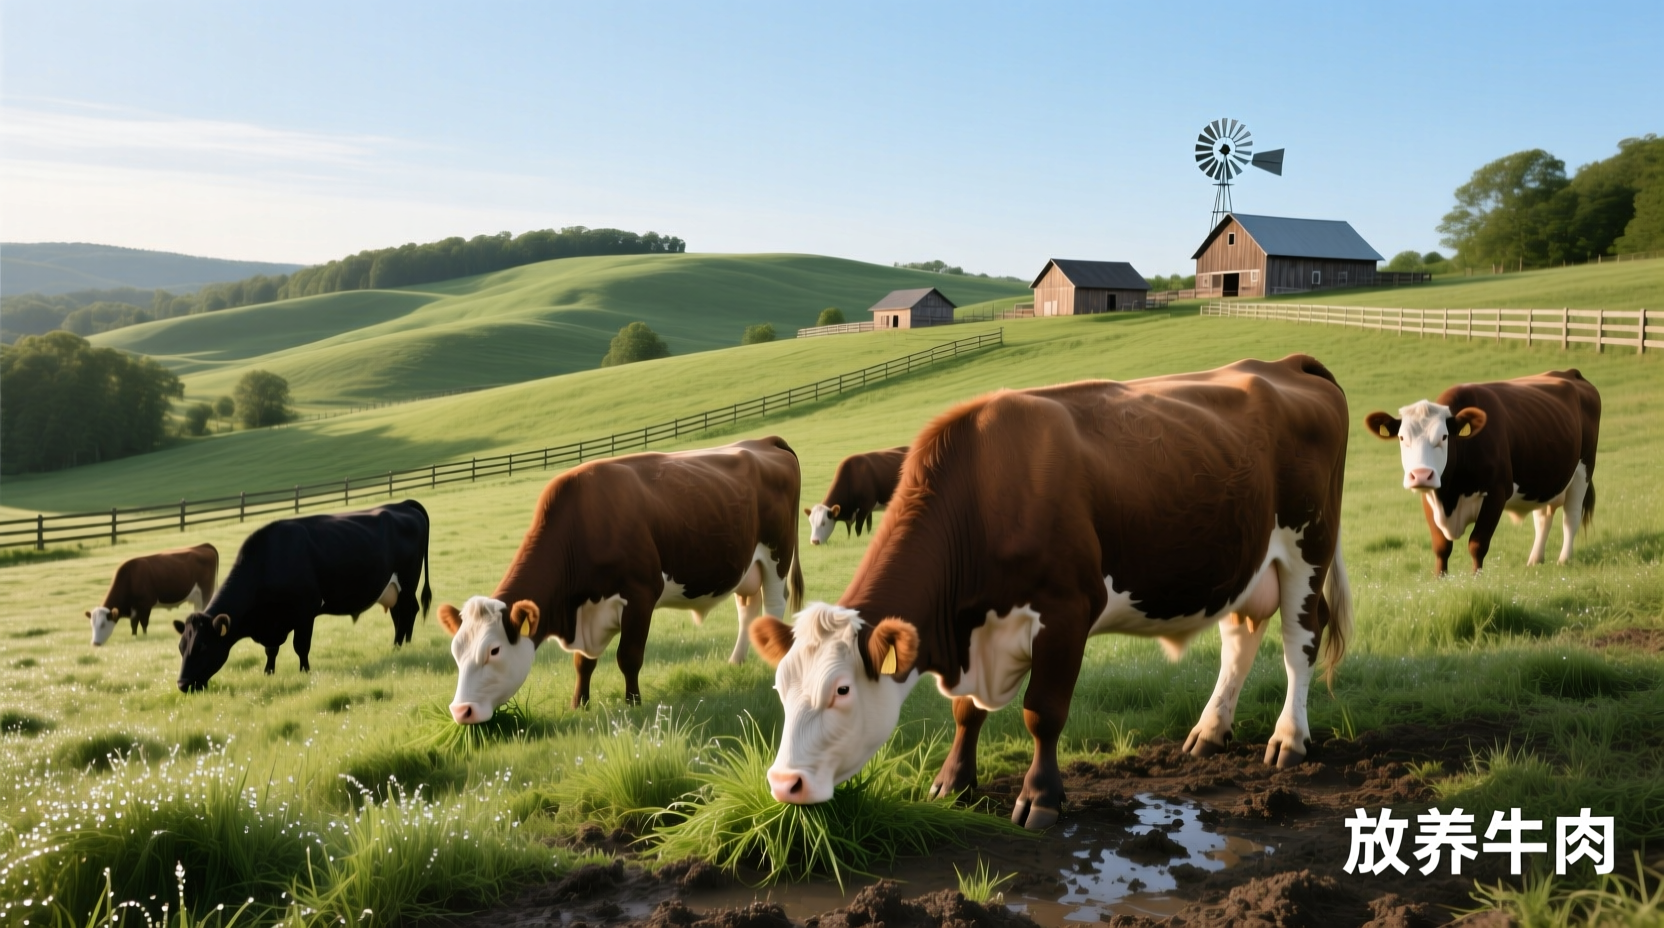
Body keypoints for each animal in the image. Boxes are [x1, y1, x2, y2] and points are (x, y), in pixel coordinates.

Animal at [87, 544, 218, 646]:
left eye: (103, 625)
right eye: (91, 625)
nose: (95, 643)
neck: (131, 577)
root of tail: (203, 546)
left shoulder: (145, 606)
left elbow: (144, 624)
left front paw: (145, 637)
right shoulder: (135, 609)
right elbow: (133, 625)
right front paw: (134, 637)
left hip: (206, 593)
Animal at [174, 500, 432, 692]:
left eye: (202, 646)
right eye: (180, 646)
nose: (182, 684)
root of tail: (402, 504)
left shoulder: (305, 612)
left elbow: (301, 647)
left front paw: (305, 672)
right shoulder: (273, 623)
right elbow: (271, 651)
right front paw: (268, 673)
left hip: (408, 582)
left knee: (408, 611)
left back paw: (400, 647)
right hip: (393, 589)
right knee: (402, 614)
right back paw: (403, 644)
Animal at [439, 436, 804, 721]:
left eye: (494, 650)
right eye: (456, 651)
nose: (460, 711)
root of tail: (763, 441)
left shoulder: (641, 594)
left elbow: (628, 656)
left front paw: (633, 704)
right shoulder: (586, 612)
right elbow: (583, 664)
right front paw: (579, 704)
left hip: (777, 555)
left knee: (773, 605)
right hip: (745, 565)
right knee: (748, 610)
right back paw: (737, 662)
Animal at [748, 355, 1353, 831]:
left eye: (842, 690)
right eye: (779, 688)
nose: (784, 784)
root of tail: (1284, 363)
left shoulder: (1066, 613)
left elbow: (1042, 712)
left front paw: (1040, 798)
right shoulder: (975, 633)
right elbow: (966, 713)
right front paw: (953, 783)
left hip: (1308, 549)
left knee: (1299, 643)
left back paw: (1288, 739)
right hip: (1242, 564)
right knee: (1239, 642)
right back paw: (1209, 731)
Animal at [1364, 369, 1600, 575]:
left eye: (1444, 437)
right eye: (1402, 438)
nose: (1421, 475)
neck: (1450, 497)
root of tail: (1569, 373)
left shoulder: (1496, 493)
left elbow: (1477, 543)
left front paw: (1476, 580)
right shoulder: (1430, 496)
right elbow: (1441, 546)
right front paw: (1439, 579)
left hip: (1583, 471)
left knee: (1571, 518)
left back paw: (1564, 560)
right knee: (1543, 518)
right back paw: (1534, 560)